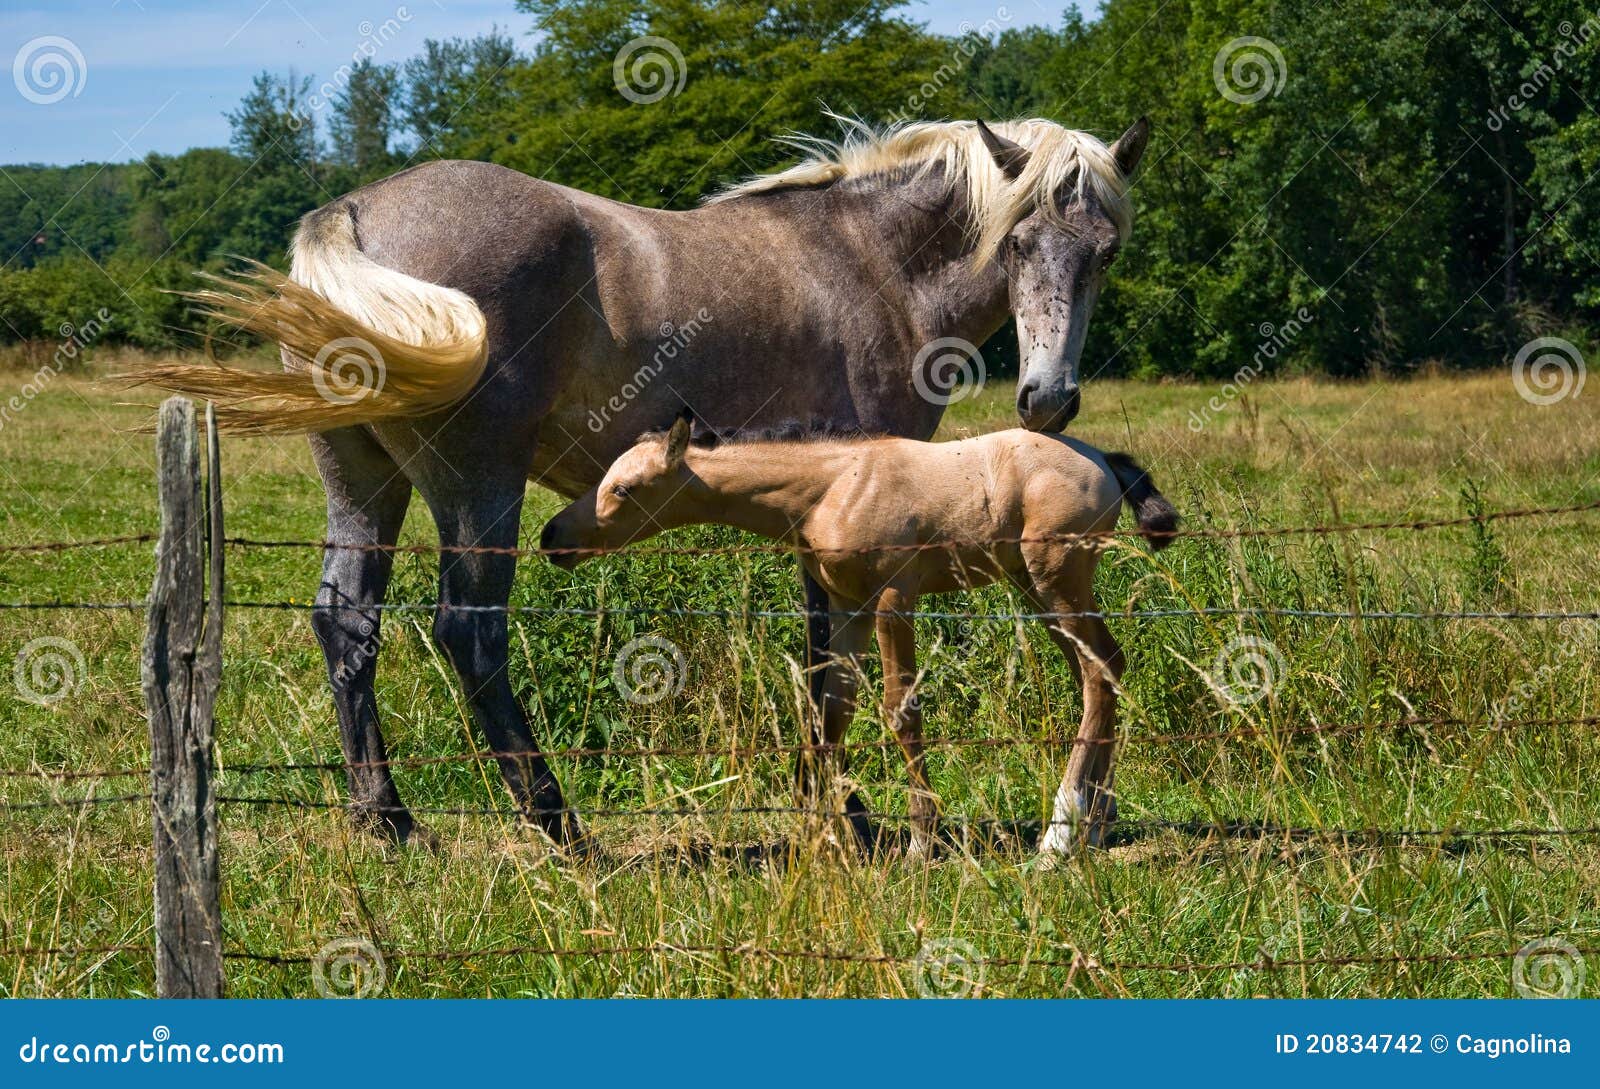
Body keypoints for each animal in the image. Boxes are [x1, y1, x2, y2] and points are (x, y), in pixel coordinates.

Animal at [540, 410, 1178, 855]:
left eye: (624, 488)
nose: (551, 538)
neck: (833, 486)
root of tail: (1102, 459)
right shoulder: (849, 607)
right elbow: (831, 714)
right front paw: (823, 837)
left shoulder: (894, 600)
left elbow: (900, 710)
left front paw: (921, 841)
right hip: (1036, 589)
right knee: (1102, 673)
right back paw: (1094, 824)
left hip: (1057, 580)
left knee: (1099, 674)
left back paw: (1059, 835)